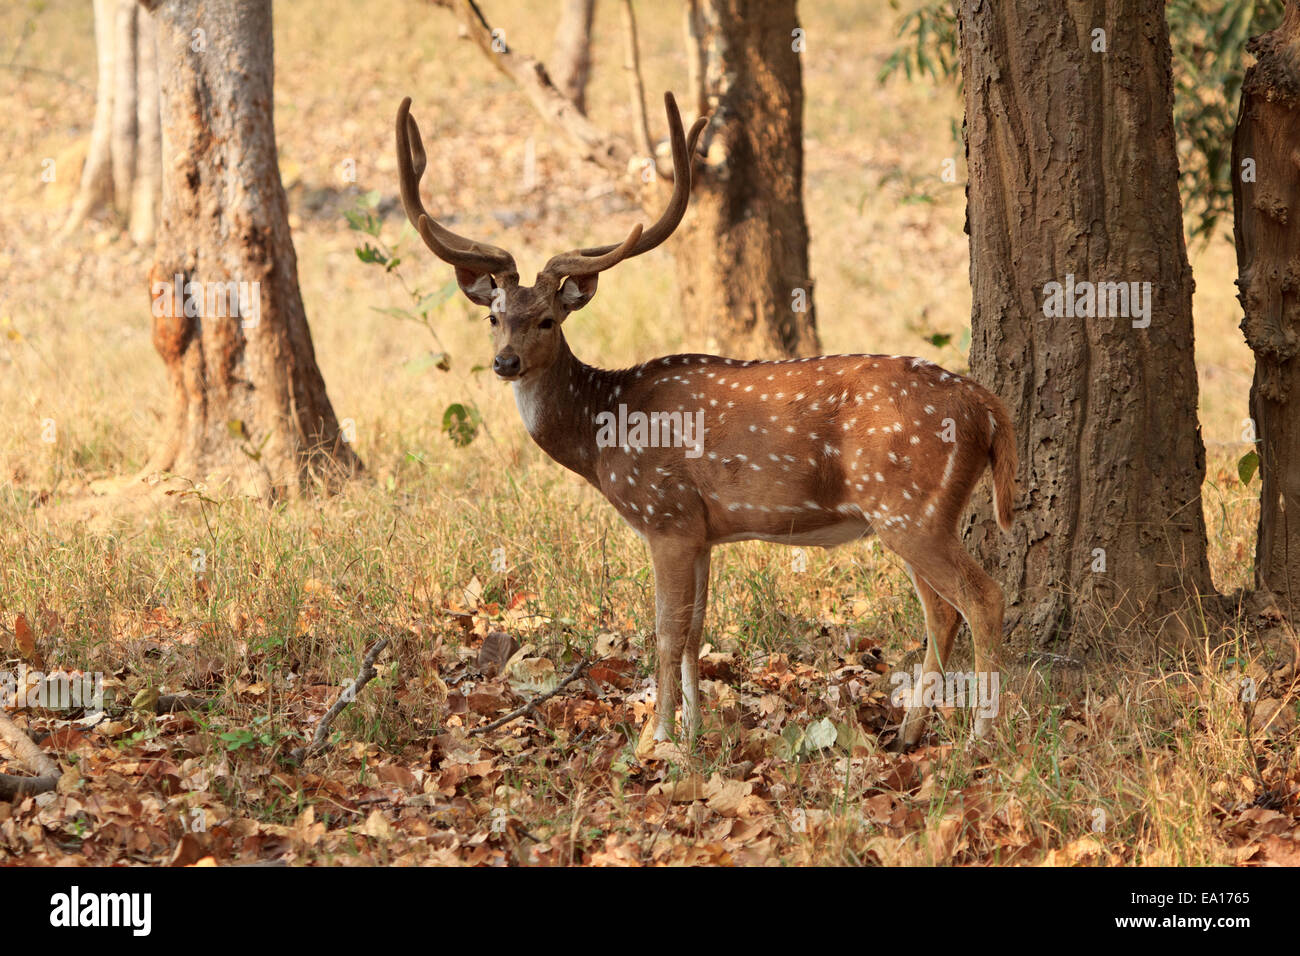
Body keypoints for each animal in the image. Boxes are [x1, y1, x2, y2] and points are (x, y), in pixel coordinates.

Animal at [395, 92, 1017, 750]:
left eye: (547, 319)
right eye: (493, 315)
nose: (505, 362)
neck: (602, 431)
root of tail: (985, 405)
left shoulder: (664, 513)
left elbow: (666, 631)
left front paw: (655, 738)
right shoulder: (702, 528)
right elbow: (696, 630)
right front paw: (695, 731)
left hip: (909, 506)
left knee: (981, 598)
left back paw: (980, 736)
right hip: (909, 512)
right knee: (942, 611)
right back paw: (908, 732)